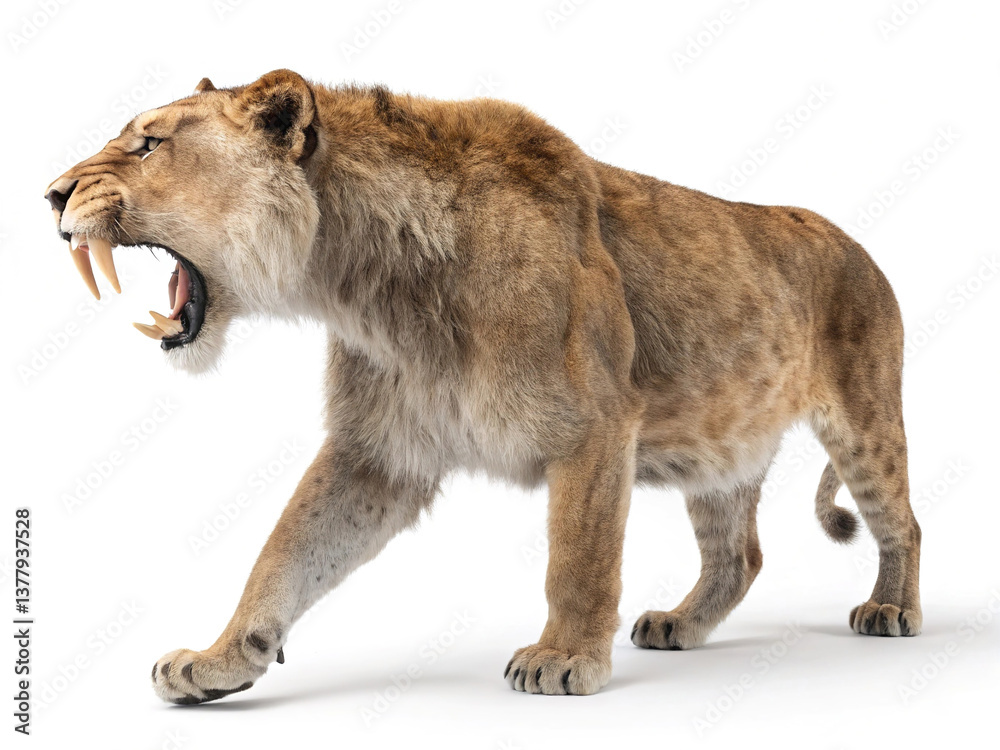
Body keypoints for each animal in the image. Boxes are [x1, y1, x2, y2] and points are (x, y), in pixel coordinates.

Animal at [44, 70, 921, 703]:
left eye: (149, 145)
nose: (51, 194)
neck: (366, 284)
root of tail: (859, 244)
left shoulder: (596, 424)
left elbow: (577, 557)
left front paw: (563, 659)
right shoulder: (376, 452)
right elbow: (285, 554)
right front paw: (222, 659)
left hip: (866, 418)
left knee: (902, 522)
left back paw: (892, 610)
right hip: (720, 446)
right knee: (739, 554)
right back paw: (680, 623)